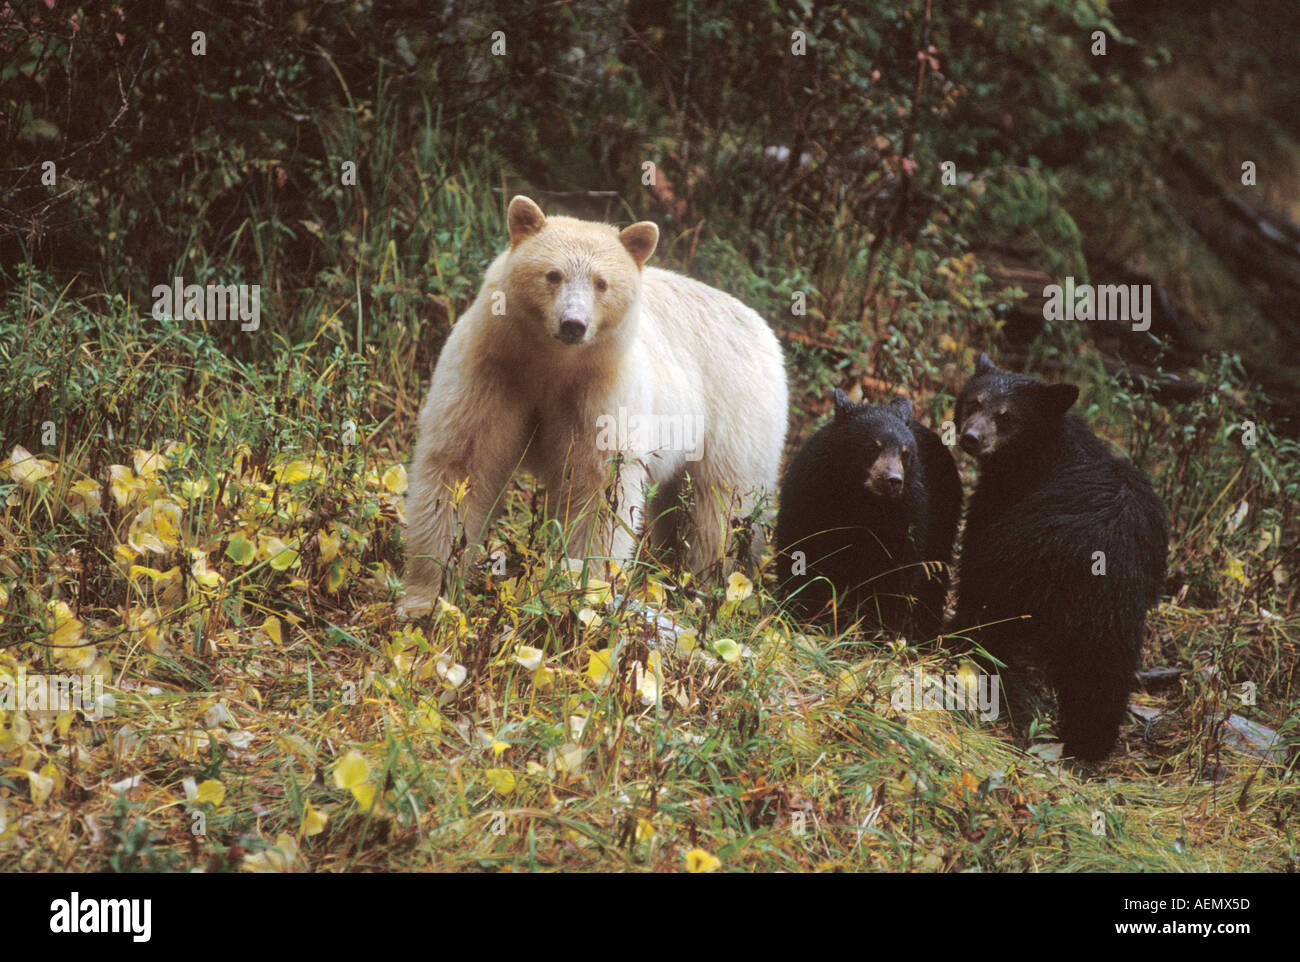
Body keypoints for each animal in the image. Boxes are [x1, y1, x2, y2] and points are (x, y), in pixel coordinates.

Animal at [399, 195, 788, 617]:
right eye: (553, 275)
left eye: (602, 283)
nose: (573, 323)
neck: (550, 364)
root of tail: (762, 327)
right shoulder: (492, 370)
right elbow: (462, 465)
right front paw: (426, 596)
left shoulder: (601, 392)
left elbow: (599, 486)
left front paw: (583, 588)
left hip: (736, 414)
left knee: (719, 508)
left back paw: (709, 586)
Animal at [774, 391, 962, 638]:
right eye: (873, 447)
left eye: (905, 453)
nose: (893, 480)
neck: (860, 500)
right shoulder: (809, 493)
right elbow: (800, 551)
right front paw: (800, 613)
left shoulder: (907, 514)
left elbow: (896, 572)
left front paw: (879, 627)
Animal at [952, 353, 1168, 761]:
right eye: (973, 402)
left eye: (1006, 416)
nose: (971, 437)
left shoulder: (1002, 500)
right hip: (1117, 616)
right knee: (1102, 678)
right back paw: (1089, 742)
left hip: (1014, 565)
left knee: (986, 611)